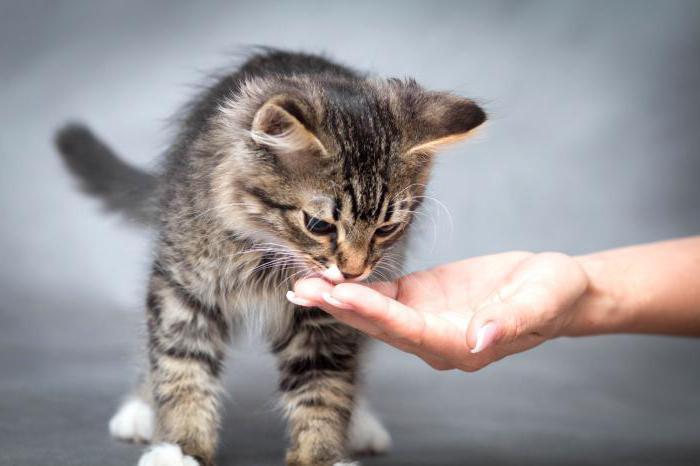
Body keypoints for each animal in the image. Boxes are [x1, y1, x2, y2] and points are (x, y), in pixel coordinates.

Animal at [54, 50, 484, 466]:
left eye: (386, 229)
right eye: (318, 225)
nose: (353, 272)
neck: (268, 255)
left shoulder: (324, 318)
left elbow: (324, 388)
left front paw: (320, 455)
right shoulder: (183, 289)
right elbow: (181, 368)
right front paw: (180, 447)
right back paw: (141, 410)